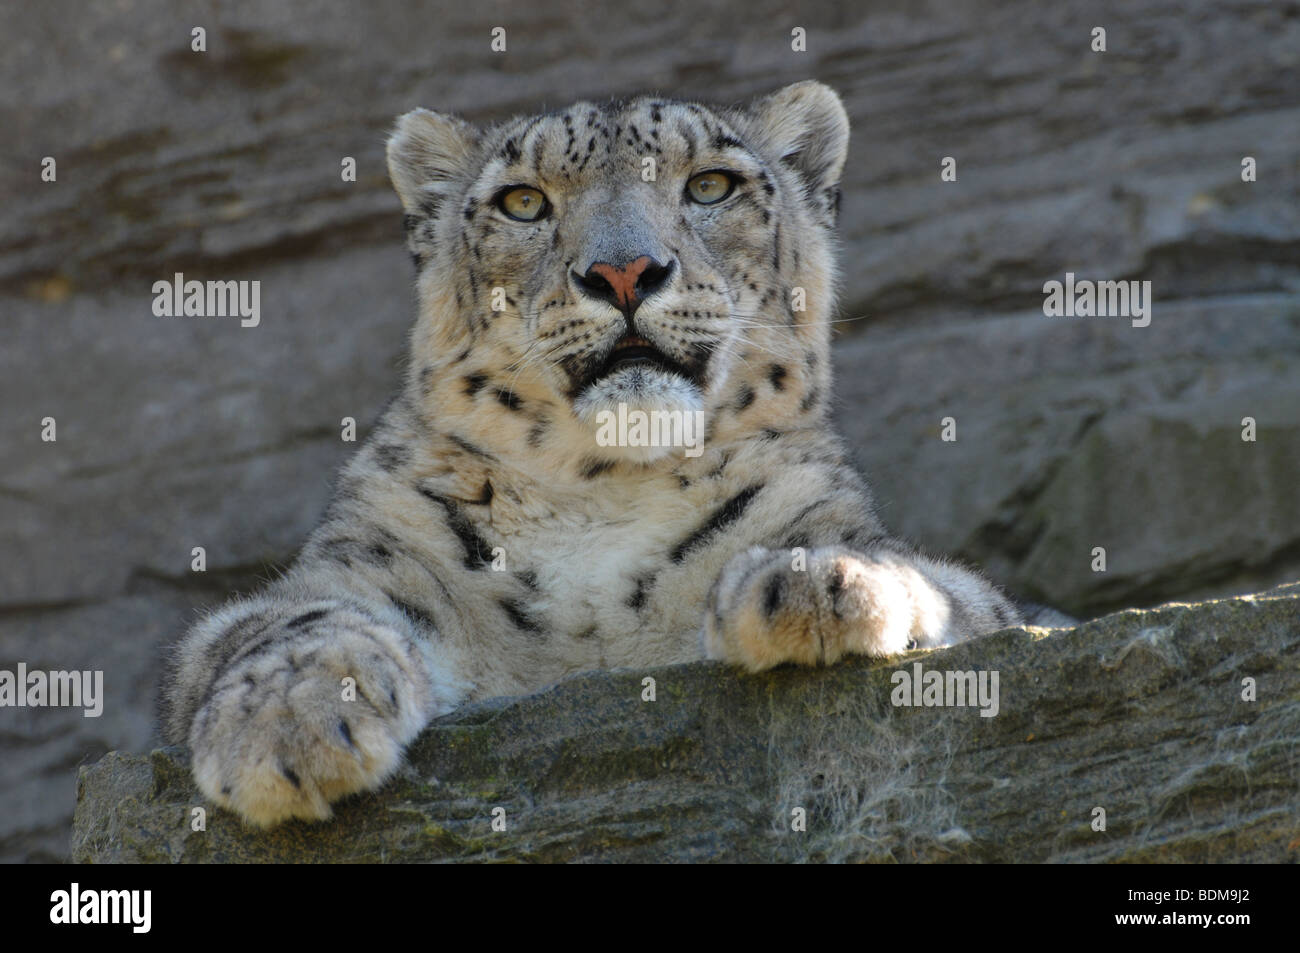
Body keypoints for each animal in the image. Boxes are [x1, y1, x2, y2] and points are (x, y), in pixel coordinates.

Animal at [159, 81, 1025, 827]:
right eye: (523, 201)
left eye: (710, 185)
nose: (624, 271)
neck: (602, 496)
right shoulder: (361, 563)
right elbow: (279, 621)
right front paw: (288, 720)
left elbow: (950, 589)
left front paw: (825, 581)